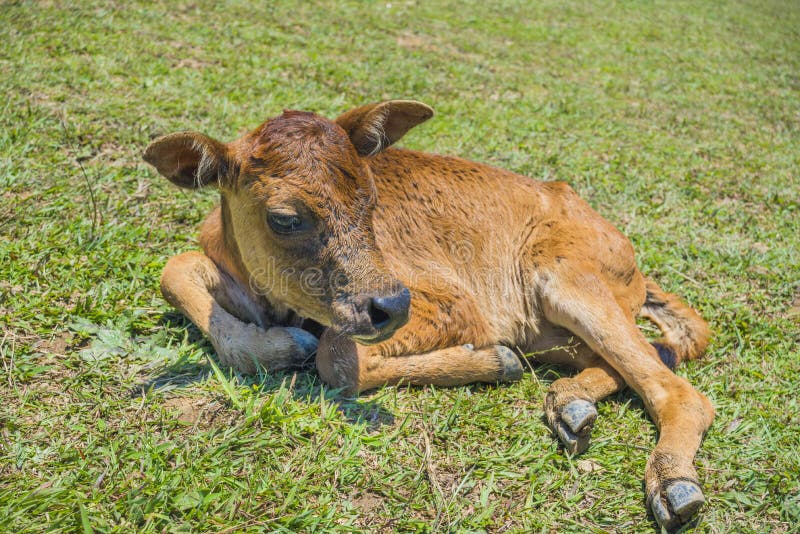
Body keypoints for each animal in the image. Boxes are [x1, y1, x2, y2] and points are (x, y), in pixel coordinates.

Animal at [144, 100, 714, 530]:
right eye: (283, 218)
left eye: (371, 196)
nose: (391, 305)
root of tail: (632, 260)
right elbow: (176, 269)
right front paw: (278, 345)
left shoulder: (458, 303)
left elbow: (337, 358)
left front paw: (495, 361)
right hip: (554, 328)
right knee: (646, 355)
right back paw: (571, 406)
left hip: (562, 277)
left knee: (677, 388)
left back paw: (674, 487)